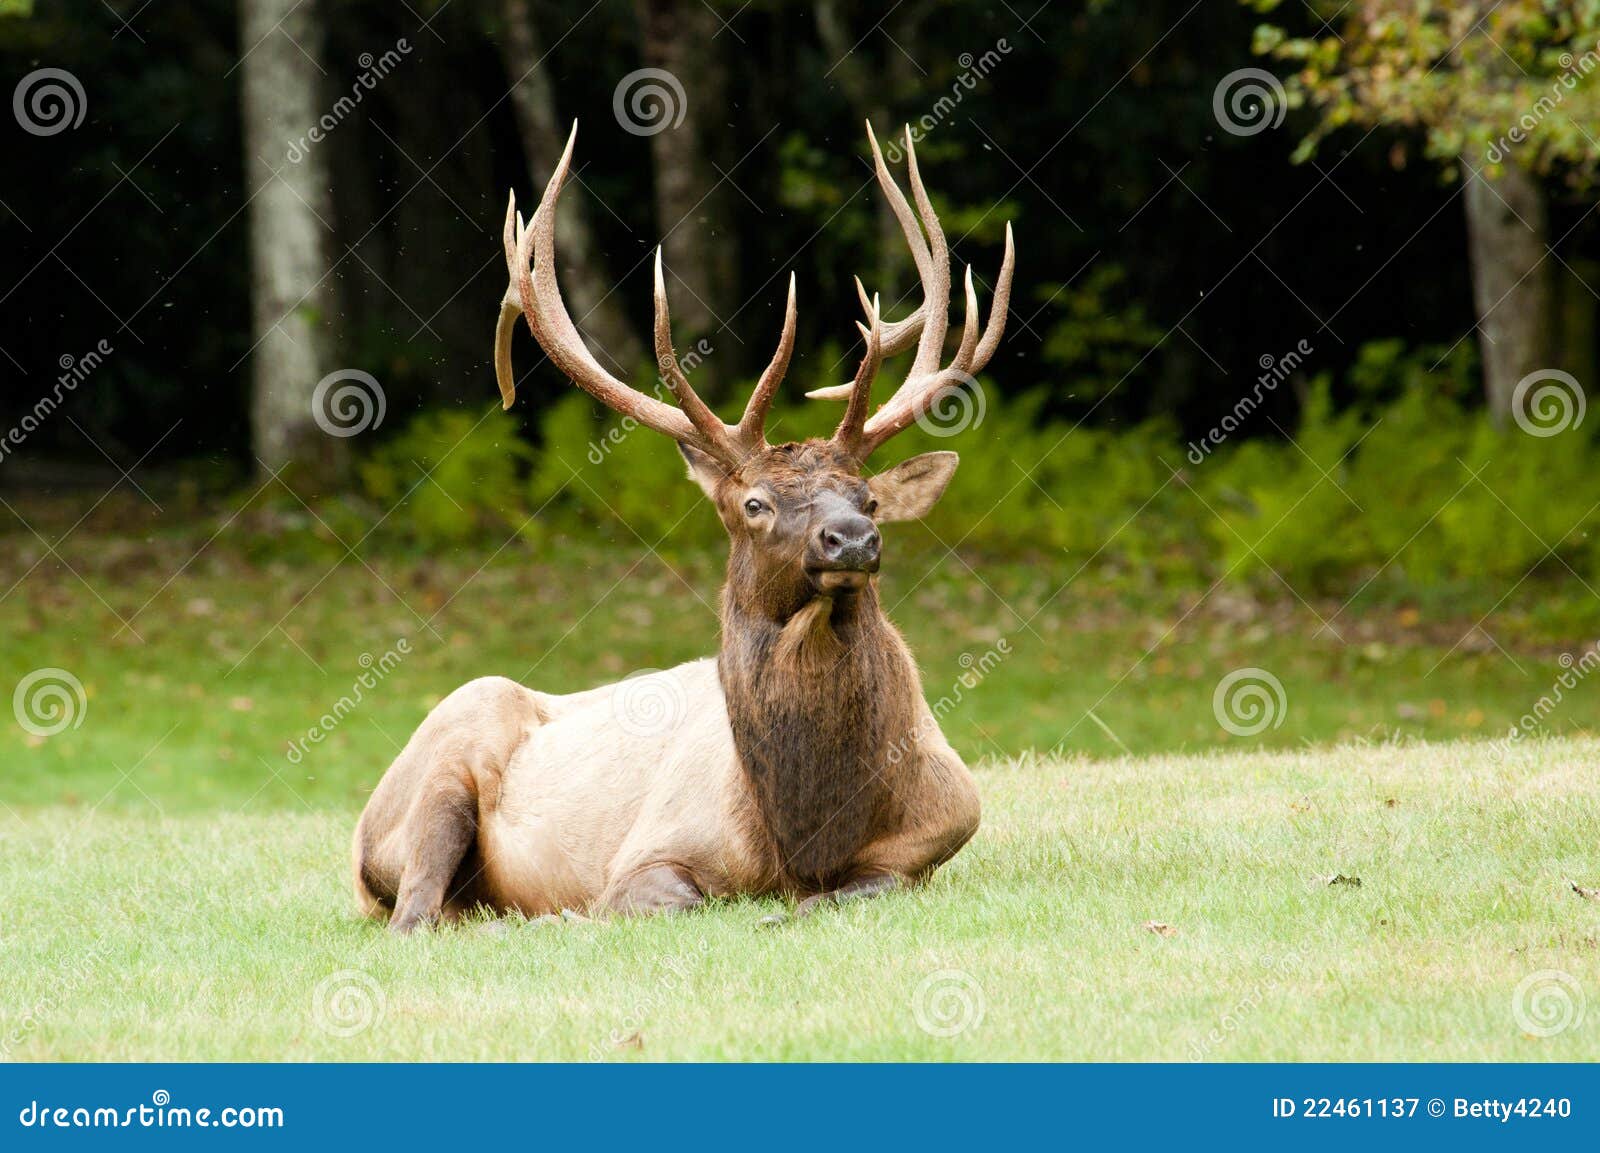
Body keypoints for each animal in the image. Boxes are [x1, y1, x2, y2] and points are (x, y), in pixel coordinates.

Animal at [352, 121, 1013, 932]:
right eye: (754, 504)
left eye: (868, 498)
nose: (852, 541)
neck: (804, 838)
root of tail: (358, 839)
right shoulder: (650, 851)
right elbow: (678, 900)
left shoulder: (943, 829)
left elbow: (862, 886)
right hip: (448, 748)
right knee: (415, 912)